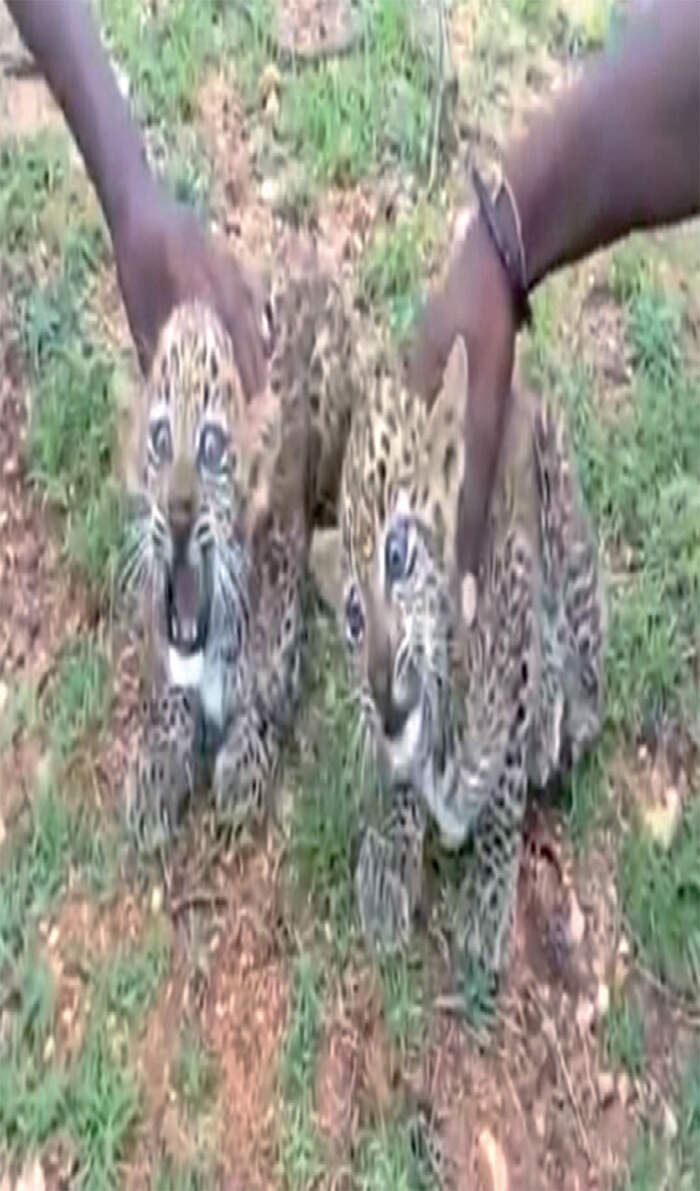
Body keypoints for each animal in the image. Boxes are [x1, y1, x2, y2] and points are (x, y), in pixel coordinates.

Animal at [121, 267, 365, 854]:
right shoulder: (166, 657)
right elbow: (172, 701)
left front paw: (238, 772)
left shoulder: (281, 670)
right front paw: (156, 775)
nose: (179, 512)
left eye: (213, 447)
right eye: (159, 439)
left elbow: (259, 707)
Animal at [335, 333, 606, 976]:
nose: (382, 693)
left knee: (582, 673)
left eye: (399, 558)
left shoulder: (511, 588)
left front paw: (487, 897)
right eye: (351, 617)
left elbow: (503, 795)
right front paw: (391, 863)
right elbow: (402, 785)